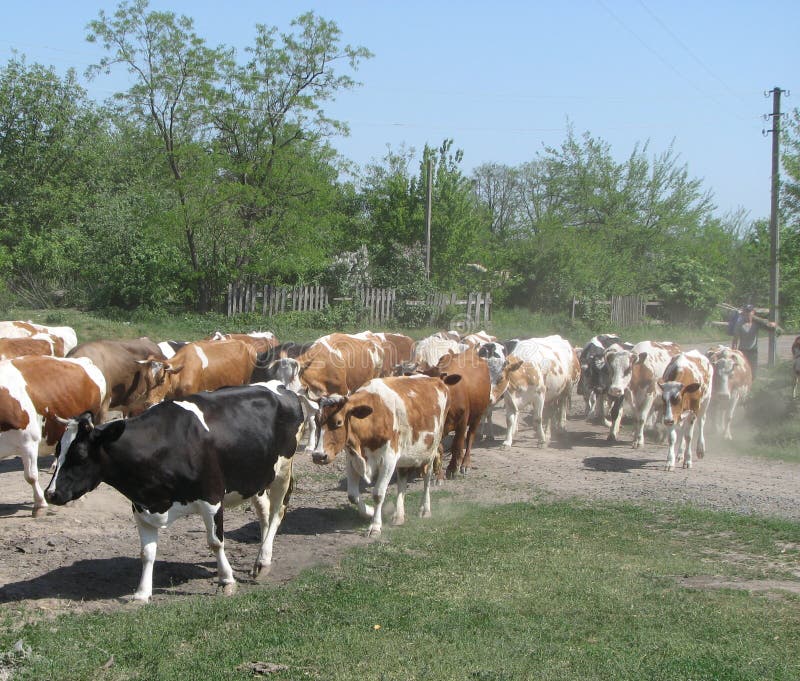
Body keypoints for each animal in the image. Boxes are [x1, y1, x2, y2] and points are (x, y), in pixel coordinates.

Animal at [44, 381, 304, 602]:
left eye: (80, 454)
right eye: (57, 450)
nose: (50, 493)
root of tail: (282, 388)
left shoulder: (211, 498)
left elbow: (215, 542)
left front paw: (227, 580)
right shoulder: (141, 507)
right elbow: (147, 552)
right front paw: (142, 593)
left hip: (283, 469)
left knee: (277, 512)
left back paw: (263, 560)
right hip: (255, 476)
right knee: (264, 512)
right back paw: (262, 558)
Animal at [311, 374, 456, 537]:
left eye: (338, 422)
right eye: (316, 420)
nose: (318, 455)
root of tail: (436, 379)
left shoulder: (388, 460)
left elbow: (378, 493)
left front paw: (375, 526)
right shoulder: (352, 459)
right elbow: (352, 495)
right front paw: (369, 511)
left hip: (430, 450)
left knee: (426, 478)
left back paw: (425, 509)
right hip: (405, 456)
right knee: (402, 479)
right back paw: (399, 516)